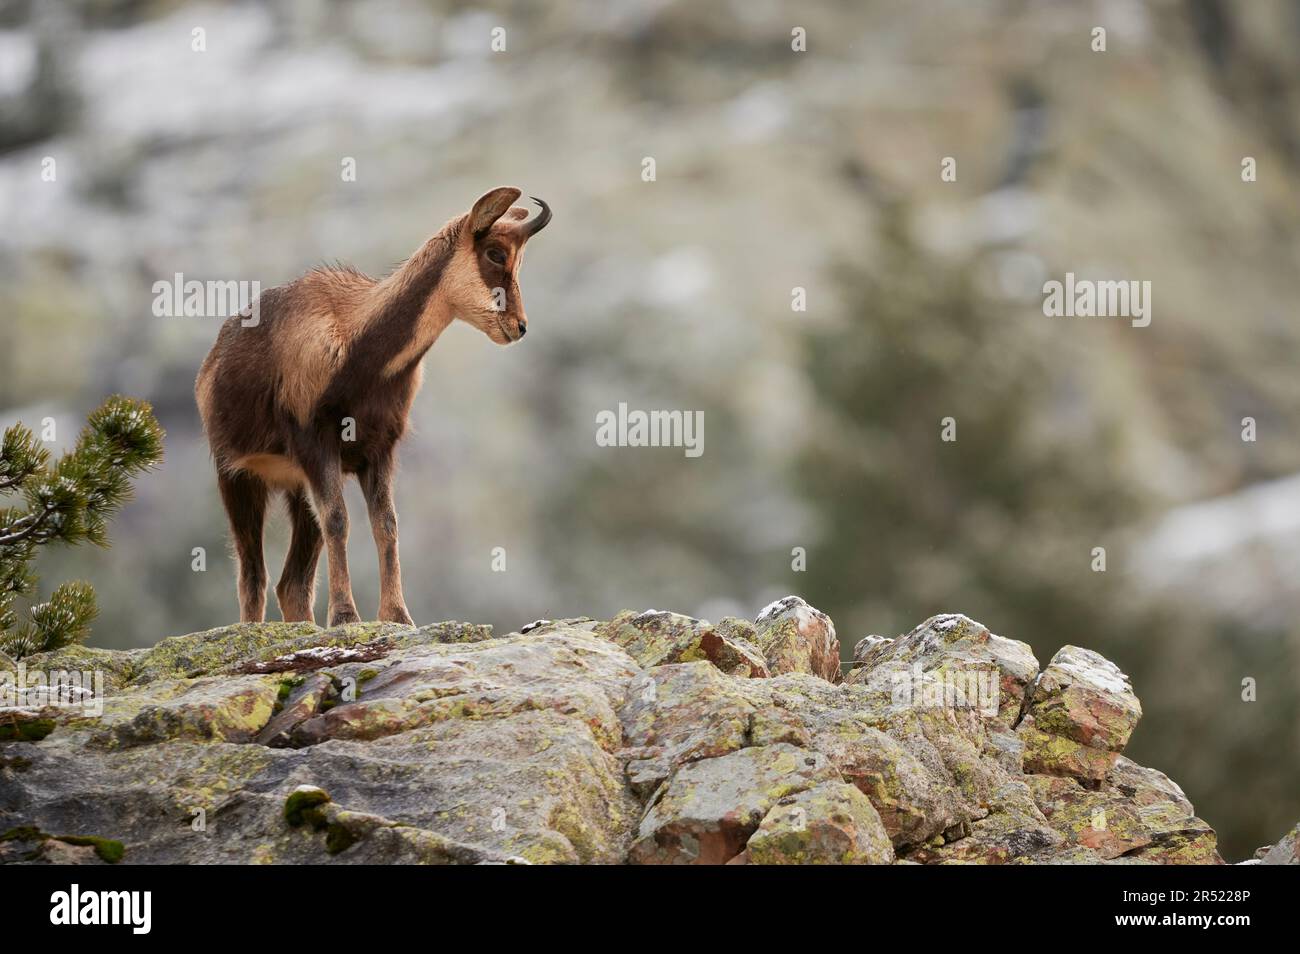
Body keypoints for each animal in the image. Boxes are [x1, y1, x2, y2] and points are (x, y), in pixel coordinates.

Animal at [196, 187, 551, 626]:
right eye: (496, 253)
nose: (519, 327)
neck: (357, 348)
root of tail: (211, 362)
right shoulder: (315, 442)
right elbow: (338, 519)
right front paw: (346, 617)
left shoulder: (379, 448)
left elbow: (386, 524)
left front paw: (397, 615)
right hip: (237, 475)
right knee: (253, 575)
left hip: (295, 486)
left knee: (291, 583)